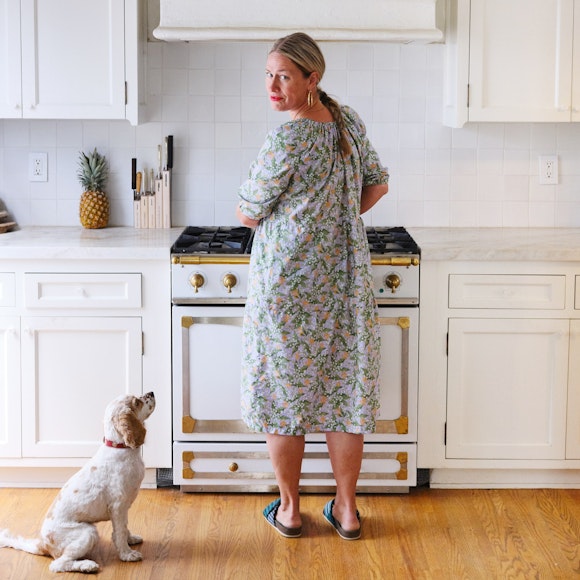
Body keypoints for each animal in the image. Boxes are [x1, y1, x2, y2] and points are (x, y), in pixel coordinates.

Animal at [0, 390, 155, 572]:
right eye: (137, 402)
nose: (151, 392)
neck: (120, 448)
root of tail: (42, 544)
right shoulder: (118, 506)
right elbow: (120, 531)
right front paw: (127, 554)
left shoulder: (122, 509)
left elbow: (124, 527)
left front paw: (131, 540)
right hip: (88, 532)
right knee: (58, 564)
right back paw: (87, 566)